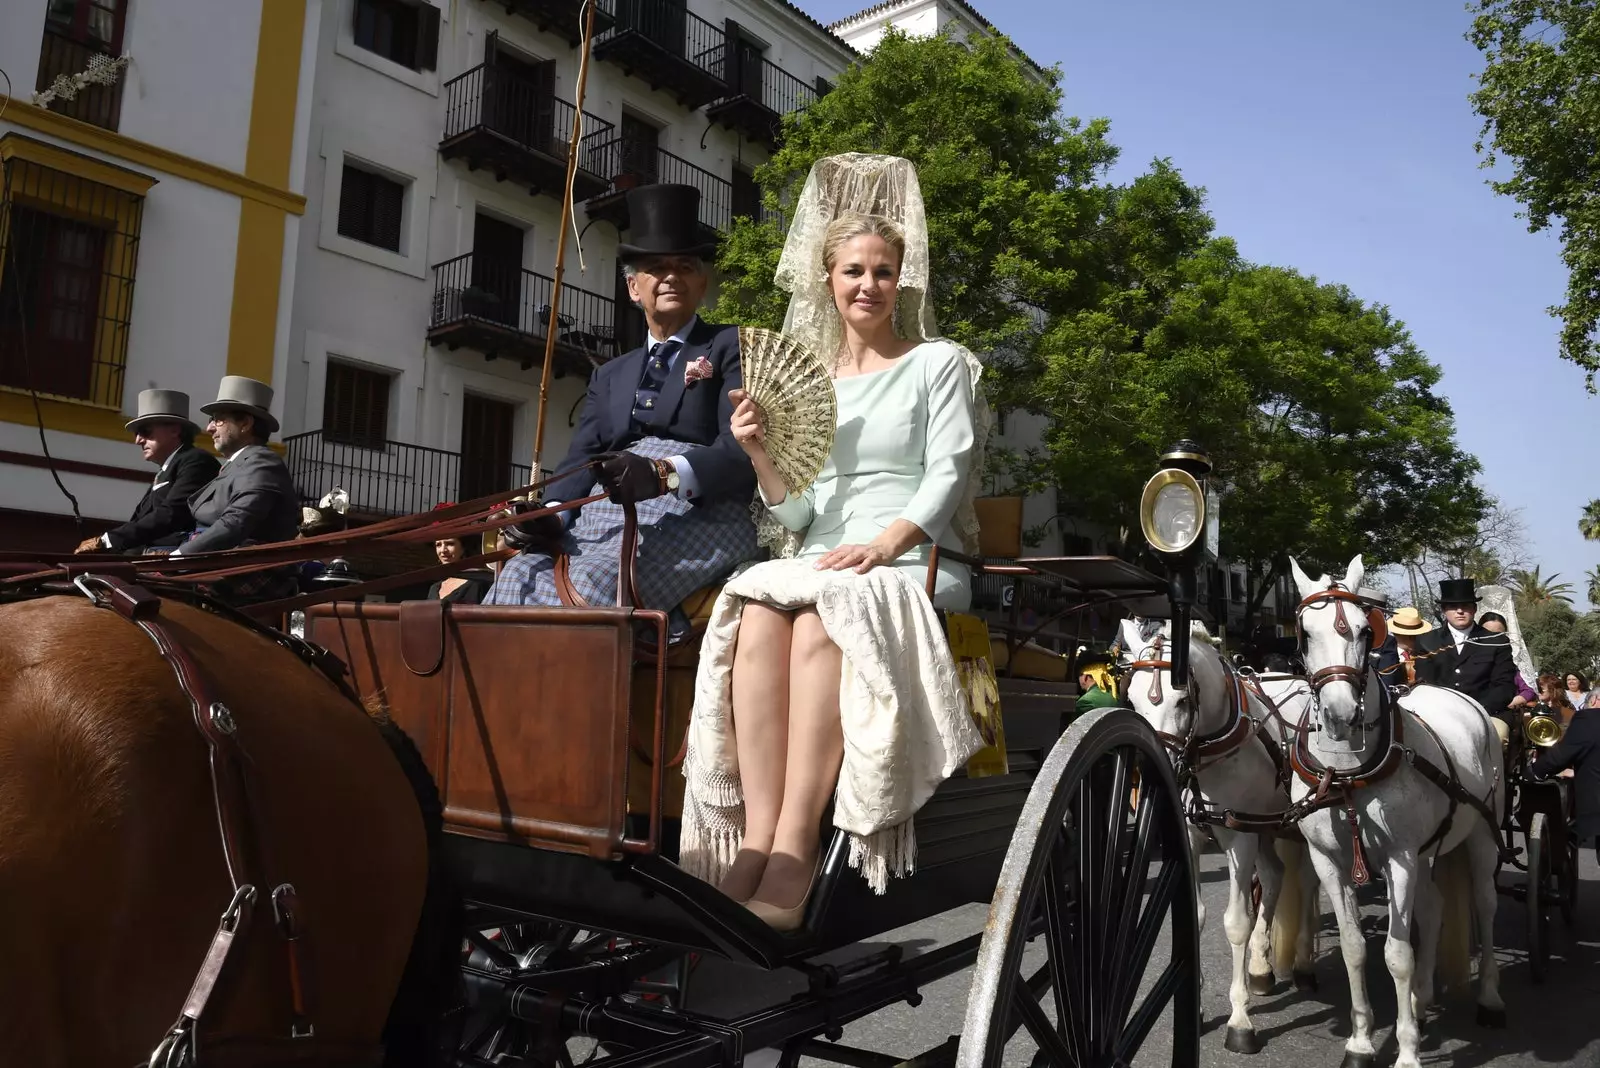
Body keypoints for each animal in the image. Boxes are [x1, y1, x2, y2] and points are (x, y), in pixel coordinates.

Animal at [1120, 617, 1318, 1048]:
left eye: (1181, 701)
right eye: (1132, 702)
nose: (1161, 769)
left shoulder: (1238, 837)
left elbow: (1236, 922)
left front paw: (1240, 1020)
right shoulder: (1193, 836)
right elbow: (1195, 917)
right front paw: (1194, 1006)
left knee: (1307, 880)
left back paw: (1304, 962)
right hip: (1266, 825)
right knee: (1275, 877)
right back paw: (1261, 968)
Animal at [1273, 559, 1497, 1068]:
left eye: (1362, 630)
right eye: (1305, 634)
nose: (1339, 713)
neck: (1347, 774)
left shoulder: (1401, 859)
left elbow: (1398, 955)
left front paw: (1408, 1048)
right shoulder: (1330, 861)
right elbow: (1355, 948)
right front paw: (1361, 1040)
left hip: (1479, 835)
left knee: (1485, 903)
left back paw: (1489, 999)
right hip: (1431, 847)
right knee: (1433, 909)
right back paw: (1422, 999)